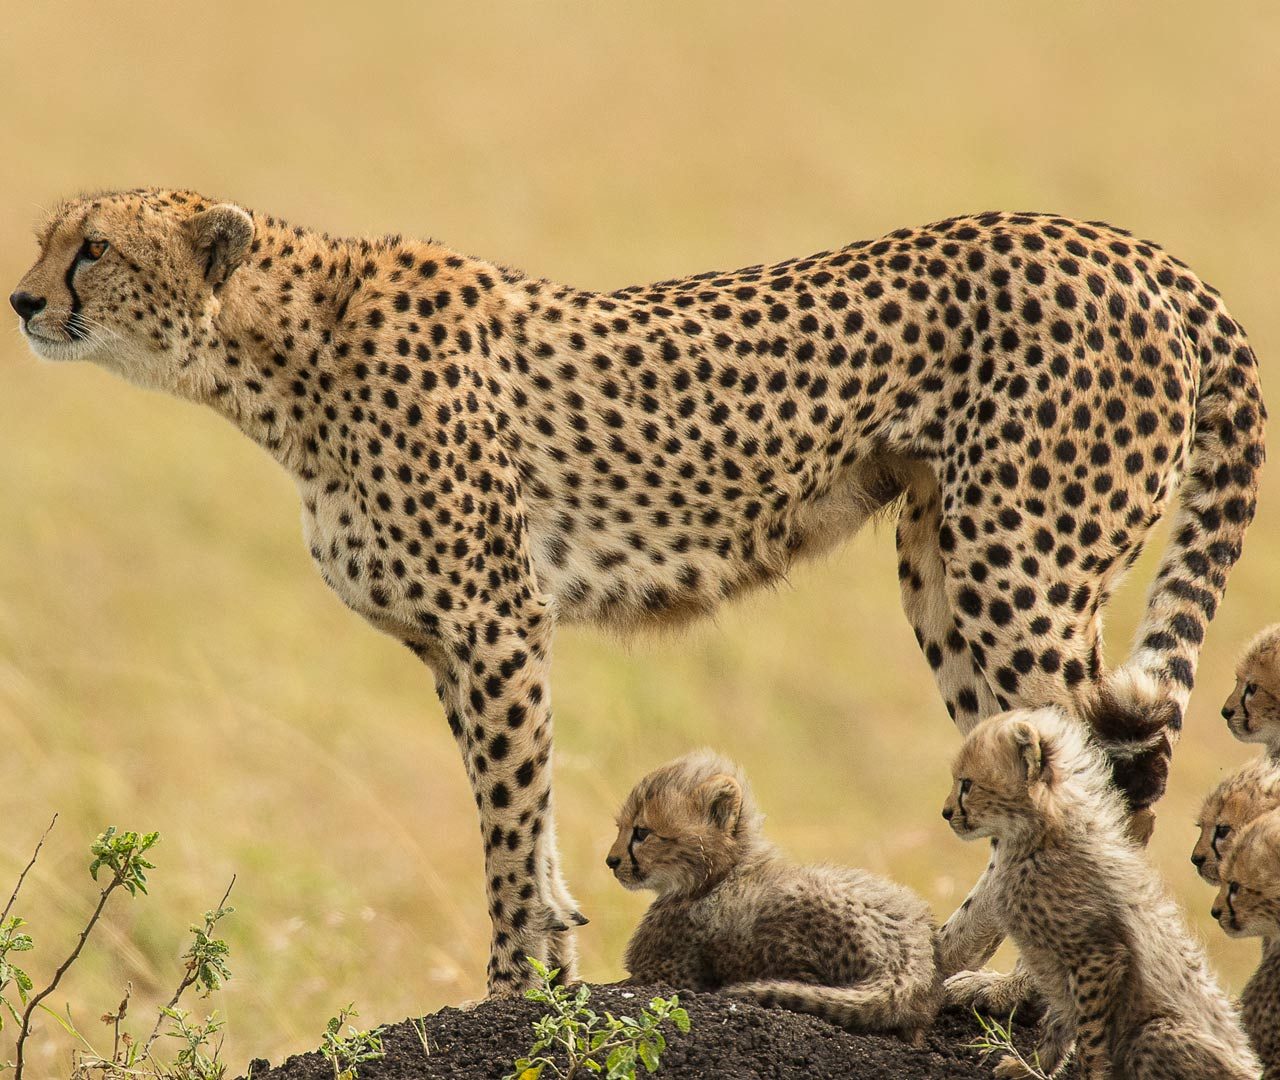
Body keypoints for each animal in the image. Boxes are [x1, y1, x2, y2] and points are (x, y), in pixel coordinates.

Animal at [11, 188, 1265, 995]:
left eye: (91, 249)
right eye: (46, 241)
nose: (21, 302)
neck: (276, 355)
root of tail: (1130, 247)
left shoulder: (494, 619)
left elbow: (509, 814)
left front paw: (516, 985)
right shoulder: (454, 641)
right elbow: (516, 812)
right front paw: (552, 955)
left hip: (1018, 566)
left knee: (1098, 777)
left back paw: (1018, 989)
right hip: (941, 569)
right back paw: (945, 965)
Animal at [608, 749, 941, 1042]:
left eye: (642, 832)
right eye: (619, 827)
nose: (611, 861)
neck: (716, 876)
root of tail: (909, 958)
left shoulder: (666, 975)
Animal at [940, 706, 1258, 1079]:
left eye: (967, 784)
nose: (946, 812)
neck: (1038, 836)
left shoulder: (1097, 956)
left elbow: (1090, 1034)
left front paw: (1089, 1072)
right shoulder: (1061, 966)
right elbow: (1060, 1022)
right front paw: (1032, 1066)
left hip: (1155, 1031)